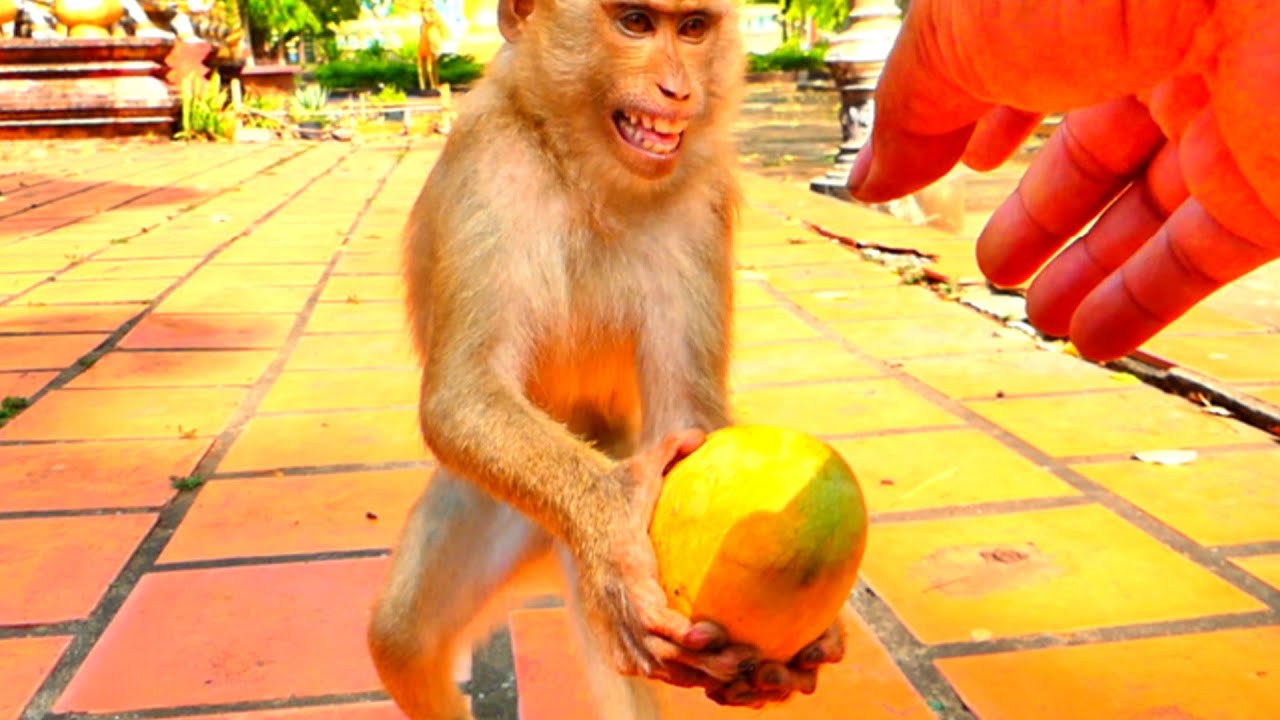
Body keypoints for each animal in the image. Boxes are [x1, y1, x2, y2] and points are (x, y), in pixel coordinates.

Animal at [366, 0, 848, 716]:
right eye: (636, 23)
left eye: (693, 29)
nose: (677, 89)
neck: (583, 170)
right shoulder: (487, 166)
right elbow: (463, 397)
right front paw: (611, 515)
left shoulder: (702, 199)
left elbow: (687, 412)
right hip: (494, 496)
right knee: (400, 641)